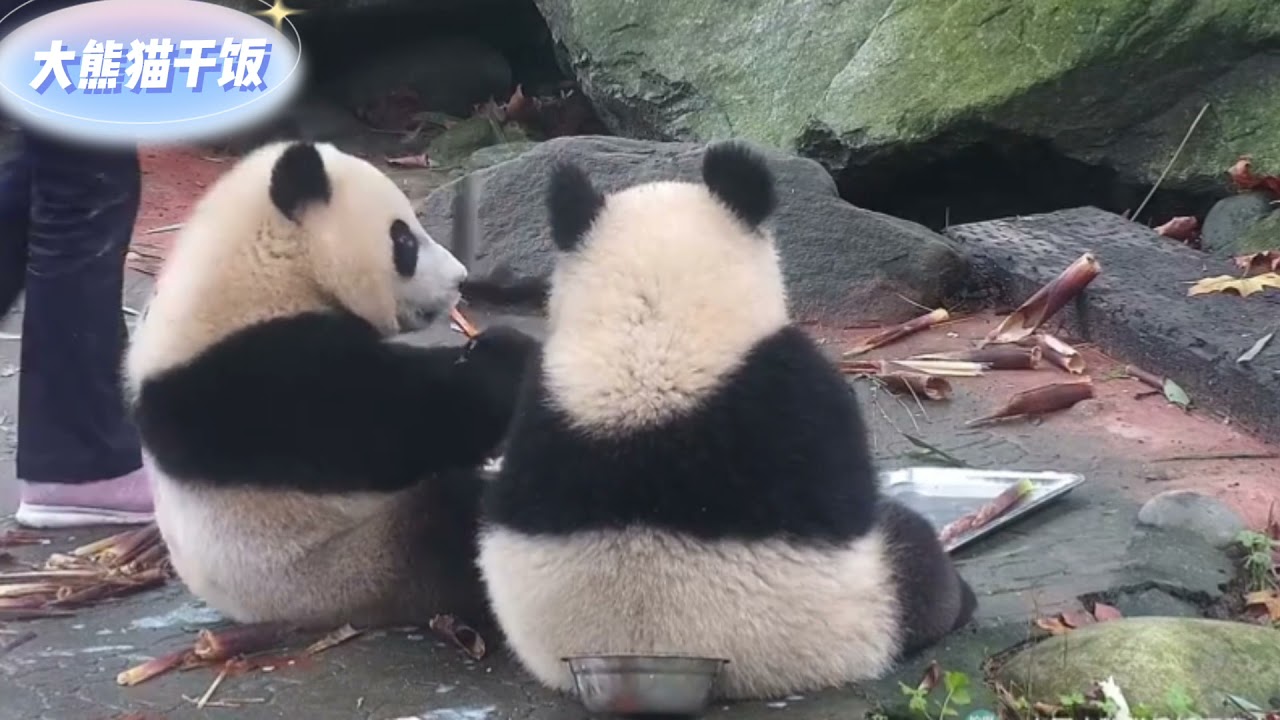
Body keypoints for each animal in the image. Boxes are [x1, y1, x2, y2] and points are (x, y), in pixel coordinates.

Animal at [123, 140, 538, 631]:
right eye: (403, 240)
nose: (460, 279)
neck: (265, 267)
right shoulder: (255, 375)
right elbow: (392, 424)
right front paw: (506, 357)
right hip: (344, 569)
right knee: (460, 523)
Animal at [476, 141, 977, 701]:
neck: (652, 335)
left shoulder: (541, 401)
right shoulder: (803, 396)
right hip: (856, 614)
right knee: (915, 558)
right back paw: (958, 598)